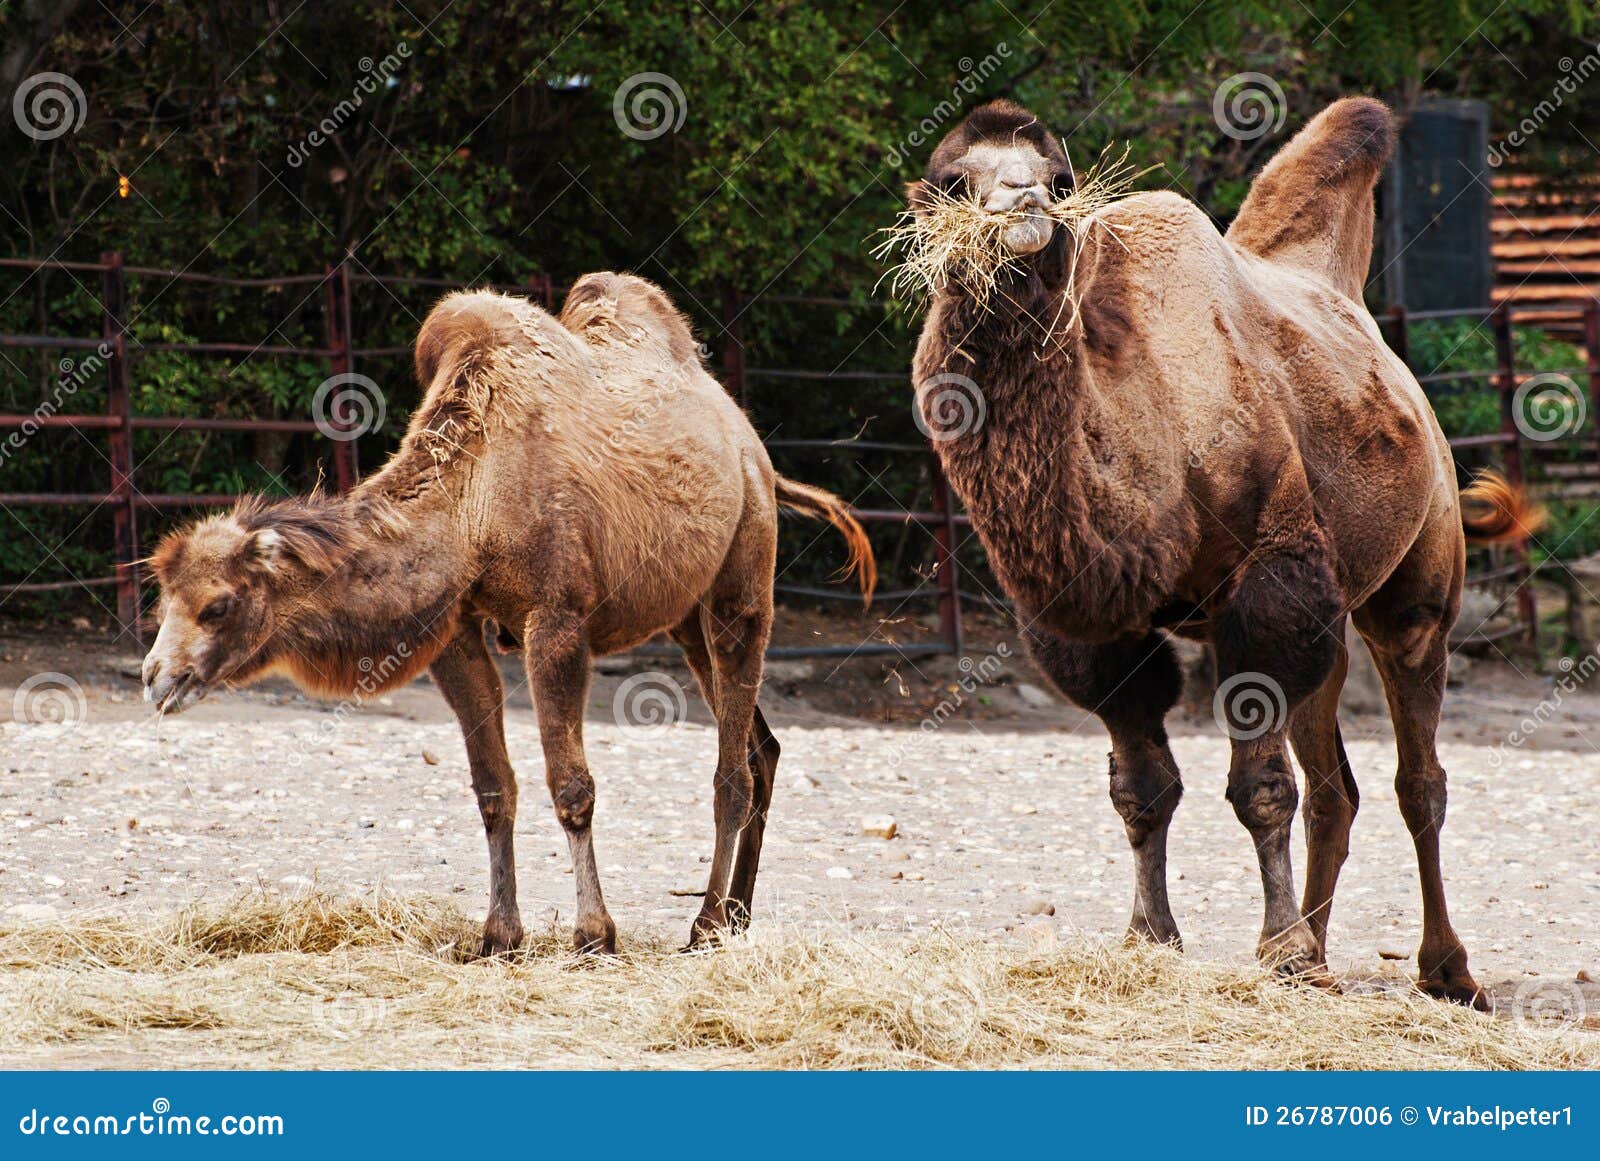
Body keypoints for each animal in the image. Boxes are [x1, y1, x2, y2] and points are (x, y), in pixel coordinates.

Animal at [140, 272, 875, 955]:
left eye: (217, 605)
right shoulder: (457, 629)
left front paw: (593, 933)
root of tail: (751, 446)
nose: (156, 677)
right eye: (162, 597)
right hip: (685, 615)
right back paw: (737, 916)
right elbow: (493, 786)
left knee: (732, 766)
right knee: (759, 748)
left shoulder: (557, 619)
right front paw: (498, 935)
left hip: (741, 580)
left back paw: (706, 924)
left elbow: (571, 786)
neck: (476, 499)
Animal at [902, 98, 1539, 1008]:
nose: (1020, 201)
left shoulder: (1268, 587)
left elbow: (1260, 789)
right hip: (1332, 623)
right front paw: (1150, 936)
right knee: (1337, 790)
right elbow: (1142, 788)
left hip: (1417, 586)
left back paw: (1444, 968)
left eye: (1057, 178)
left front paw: (1275, 948)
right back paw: (1322, 952)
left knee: (1418, 778)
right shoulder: (1103, 628)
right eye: (956, 179)